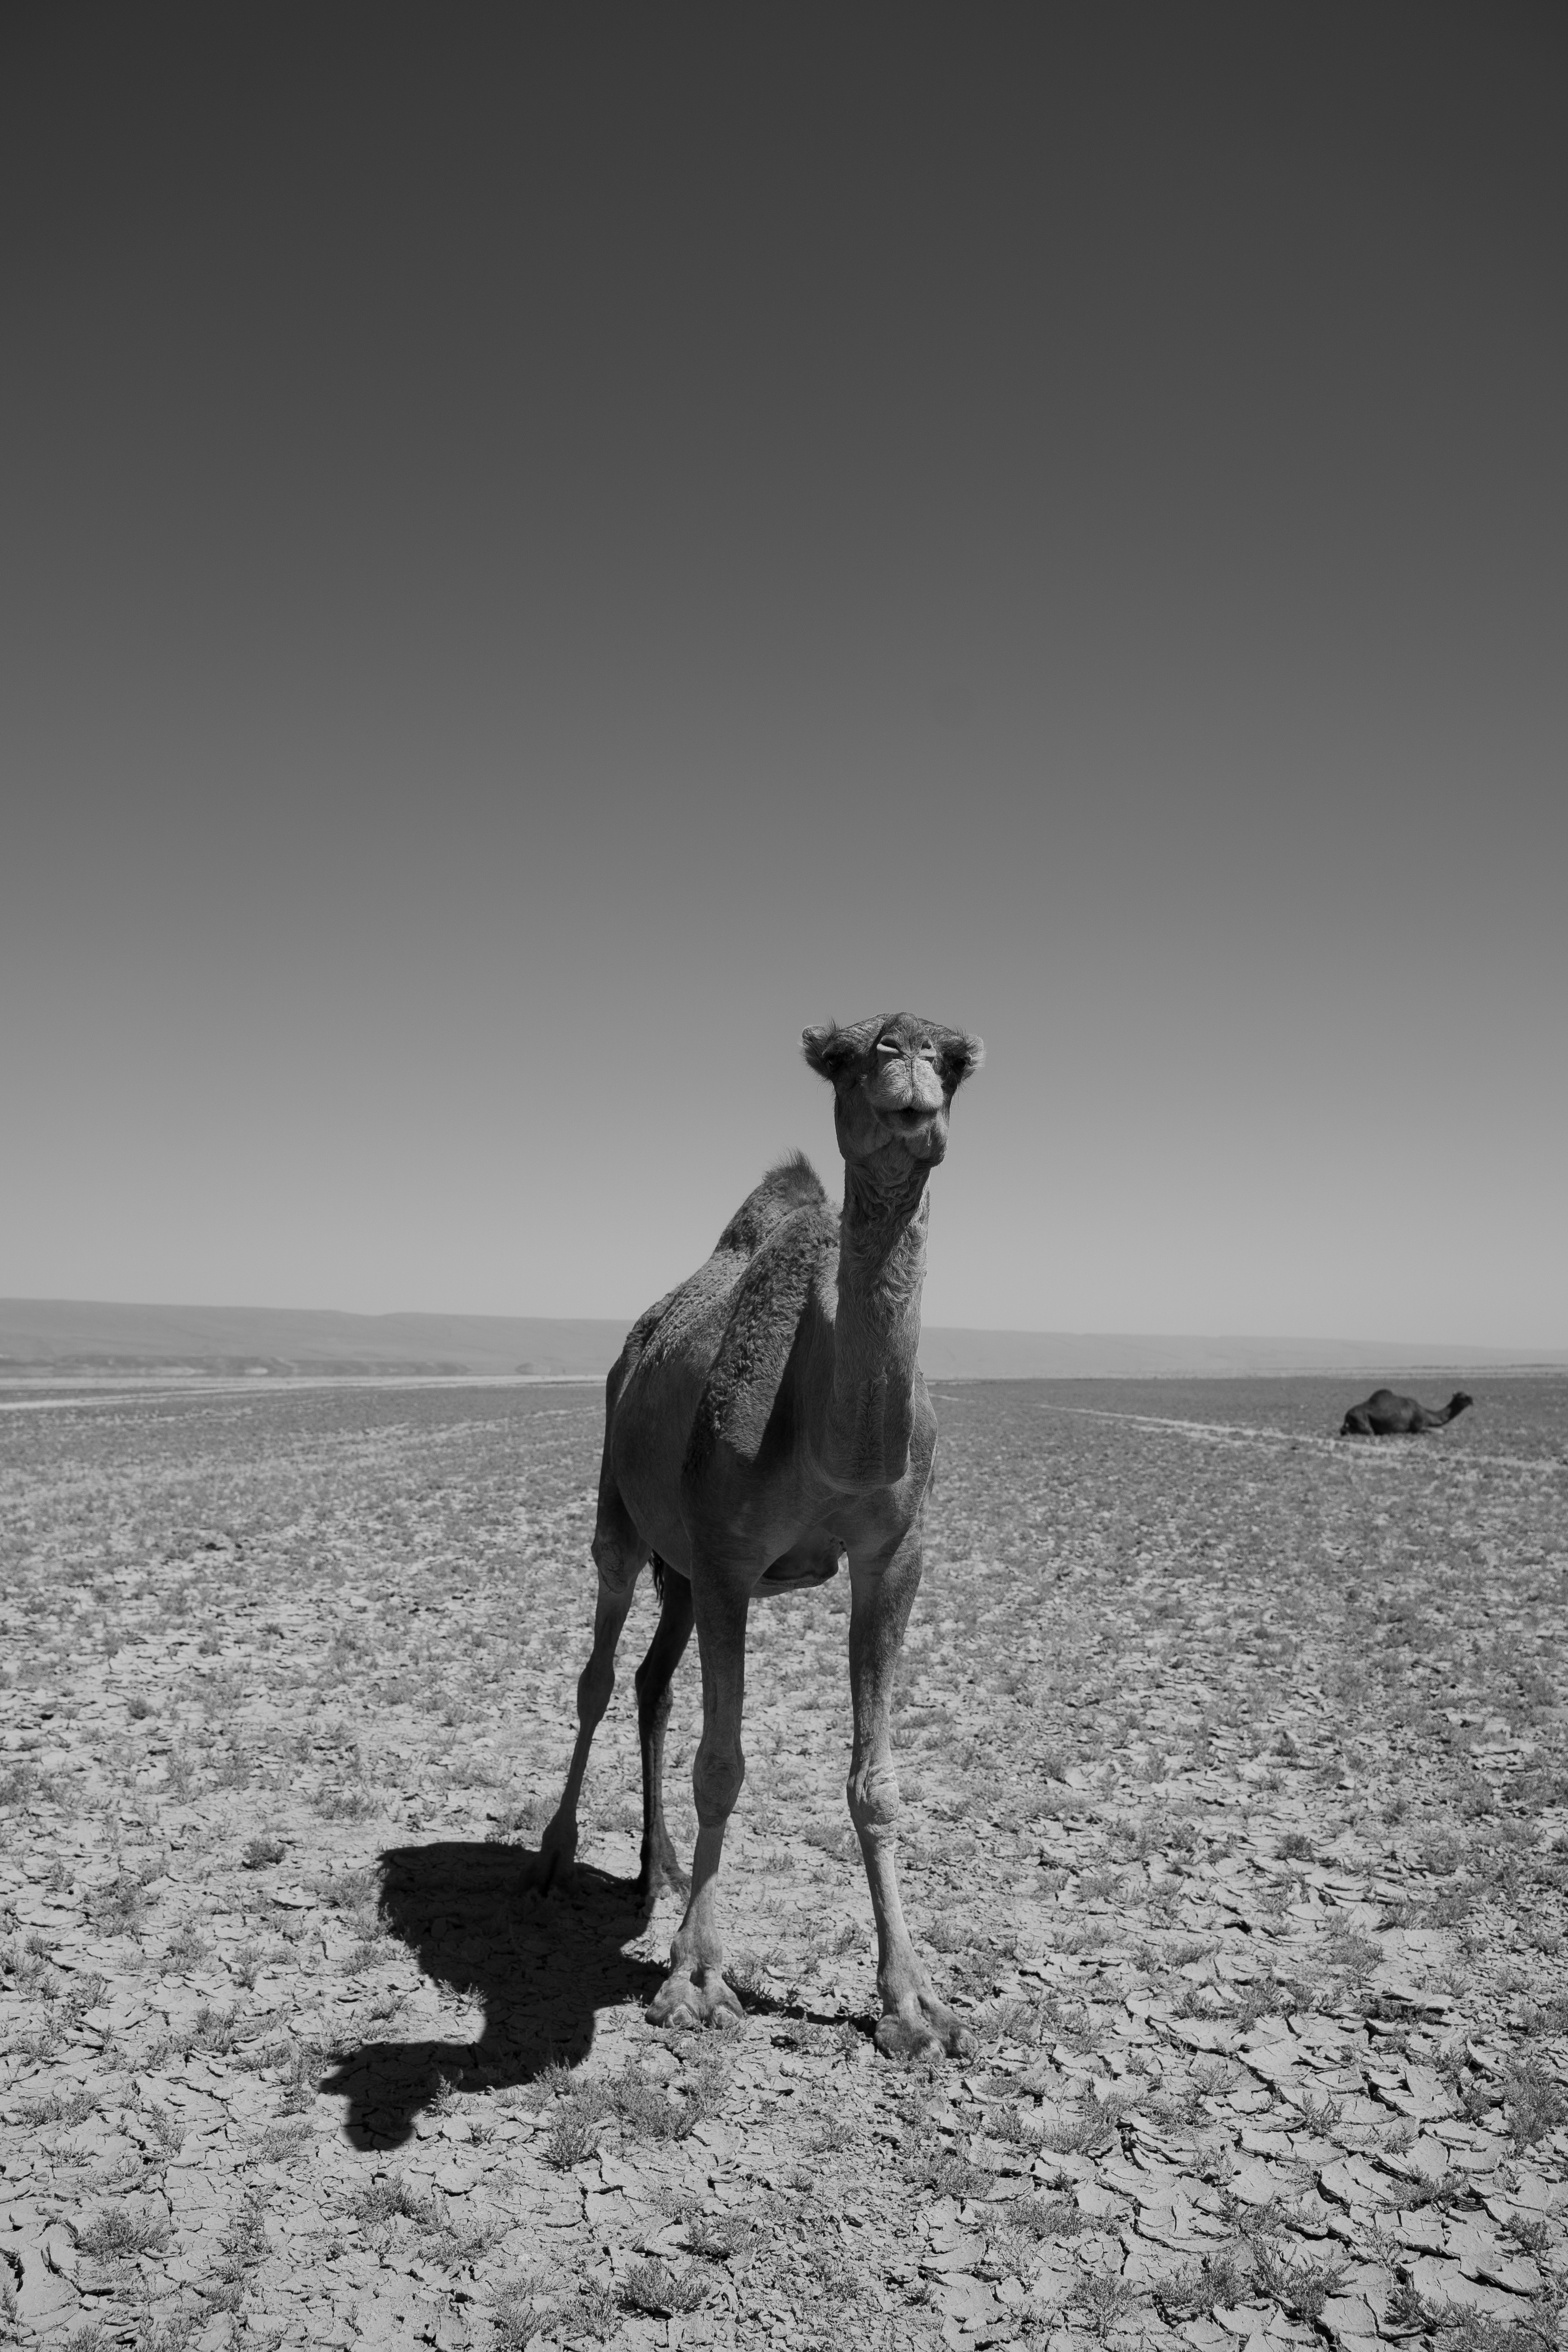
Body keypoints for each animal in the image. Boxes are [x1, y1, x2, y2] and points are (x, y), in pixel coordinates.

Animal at [539, 1011, 984, 2059]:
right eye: (850, 1055)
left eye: (957, 1061)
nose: (909, 1068)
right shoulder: (730, 1557)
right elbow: (722, 1764)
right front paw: (696, 1981)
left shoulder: (893, 1554)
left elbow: (875, 1783)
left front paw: (912, 2003)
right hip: (626, 1523)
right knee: (599, 1673)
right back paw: (559, 1854)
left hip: (681, 1567)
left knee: (651, 1681)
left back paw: (655, 1871)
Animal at [1339, 1387, 1474, 1437]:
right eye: (1462, 1397)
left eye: (1466, 1395)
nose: (1472, 1400)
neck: (1427, 1415)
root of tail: (1347, 1414)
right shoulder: (1418, 1428)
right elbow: (1441, 1431)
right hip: (1362, 1419)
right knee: (1369, 1431)